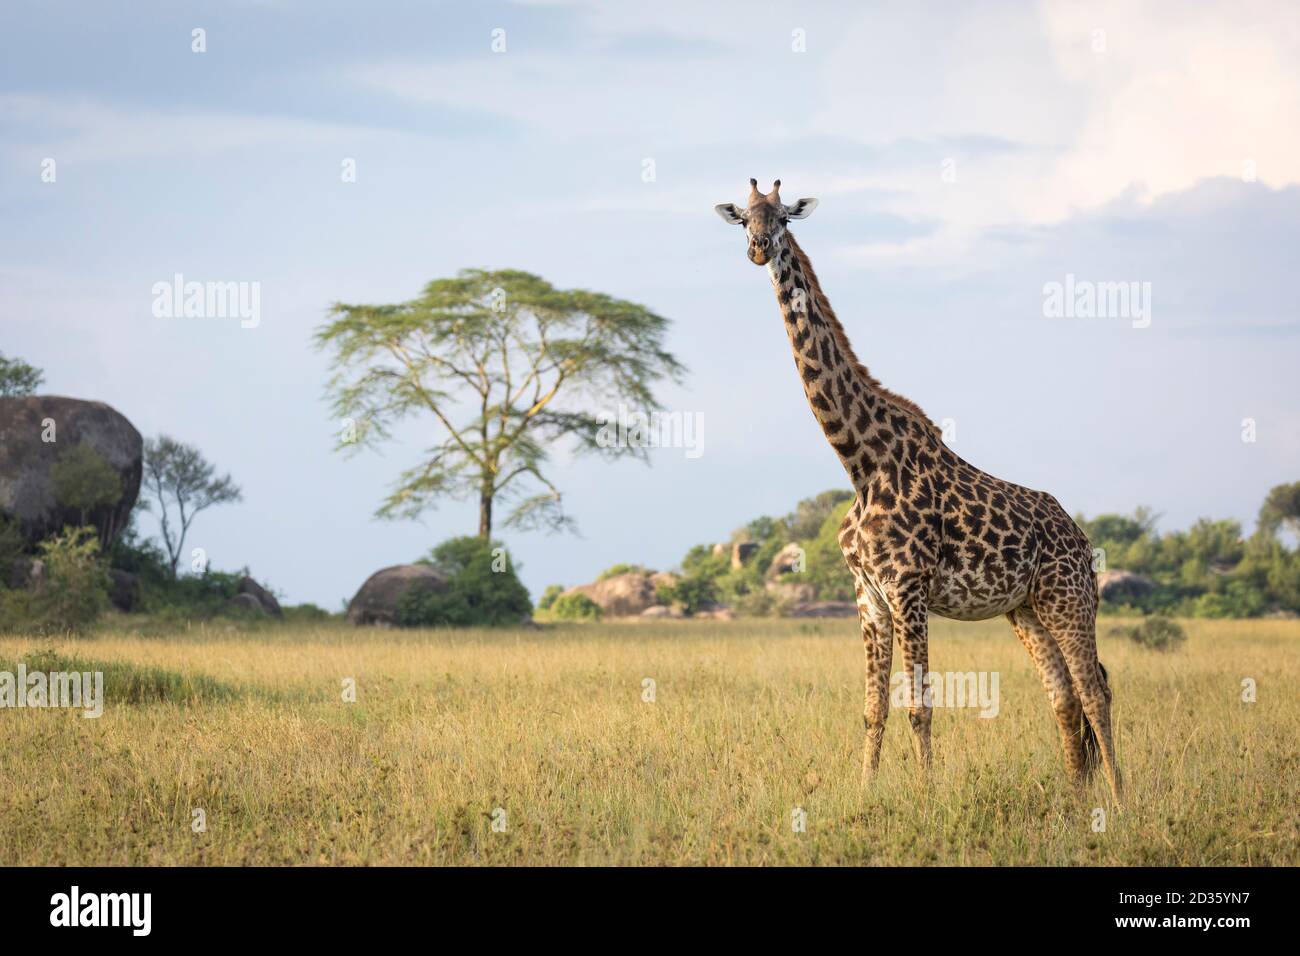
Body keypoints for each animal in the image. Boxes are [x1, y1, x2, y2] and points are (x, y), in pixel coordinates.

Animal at [714, 179, 1122, 803]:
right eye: (743, 219)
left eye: (782, 217)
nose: (759, 249)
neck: (859, 464)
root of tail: (1081, 538)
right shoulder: (869, 595)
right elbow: (873, 709)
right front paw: (864, 792)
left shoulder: (907, 587)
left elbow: (920, 707)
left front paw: (928, 795)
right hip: (1025, 608)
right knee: (1065, 695)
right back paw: (1078, 799)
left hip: (1068, 597)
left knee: (1096, 688)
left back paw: (1123, 801)